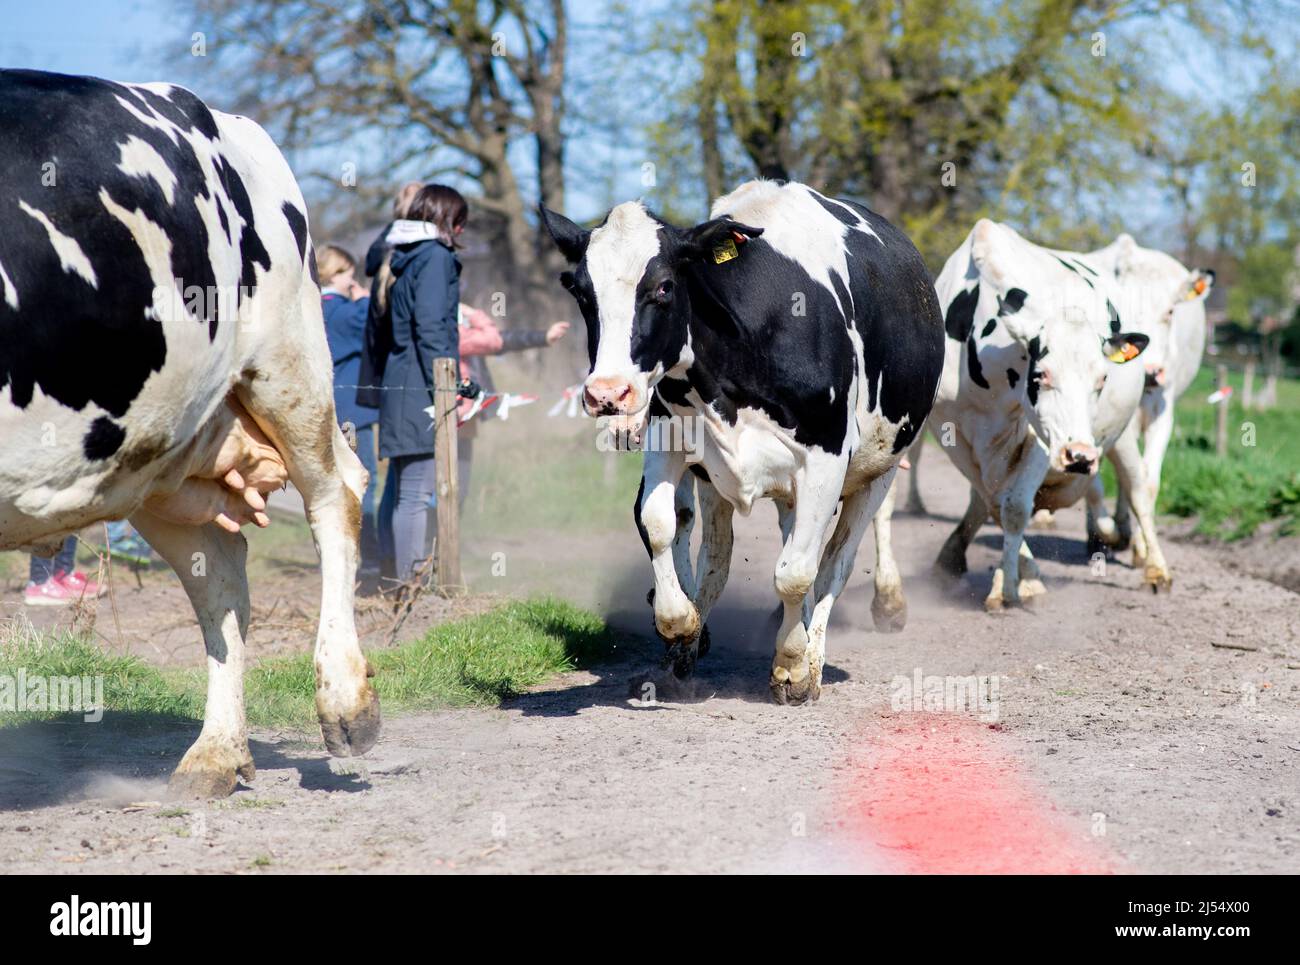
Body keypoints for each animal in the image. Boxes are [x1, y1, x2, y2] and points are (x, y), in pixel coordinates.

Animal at [0, 70, 379, 797]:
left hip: (288, 363)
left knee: (336, 493)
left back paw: (345, 704)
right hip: (149, 459)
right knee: (221, 575)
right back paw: (217, 753)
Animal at [540, 179, 945, 703]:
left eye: (664, 287)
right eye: (581, 292)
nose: (608, 393)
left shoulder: (826, 460)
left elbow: (797, 574)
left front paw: (792, 667)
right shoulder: (670, 441)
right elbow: (658, 525)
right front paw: (680, 623)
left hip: (882, 469)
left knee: (835, 563)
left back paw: (817, 652)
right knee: (721, 556)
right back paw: (689, 653)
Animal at [928, 219, 1172, 610]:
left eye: (1102, 379)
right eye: (1041, 375)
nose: (1080, 456)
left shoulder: (1040, 439)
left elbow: (1013, 506)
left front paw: (1009, 589)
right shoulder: (952, 434)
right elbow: (995, 504)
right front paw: (1023, 579)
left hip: (1118, 436)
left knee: (1139, 491)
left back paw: (1155, 569)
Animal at [1078, 235, 1214, 562]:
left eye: (1170, 312)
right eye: (1120, 315)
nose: (1151, 372)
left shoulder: (1161, 410)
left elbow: (1146, 481)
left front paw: (1142, 545)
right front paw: (1105, 534)